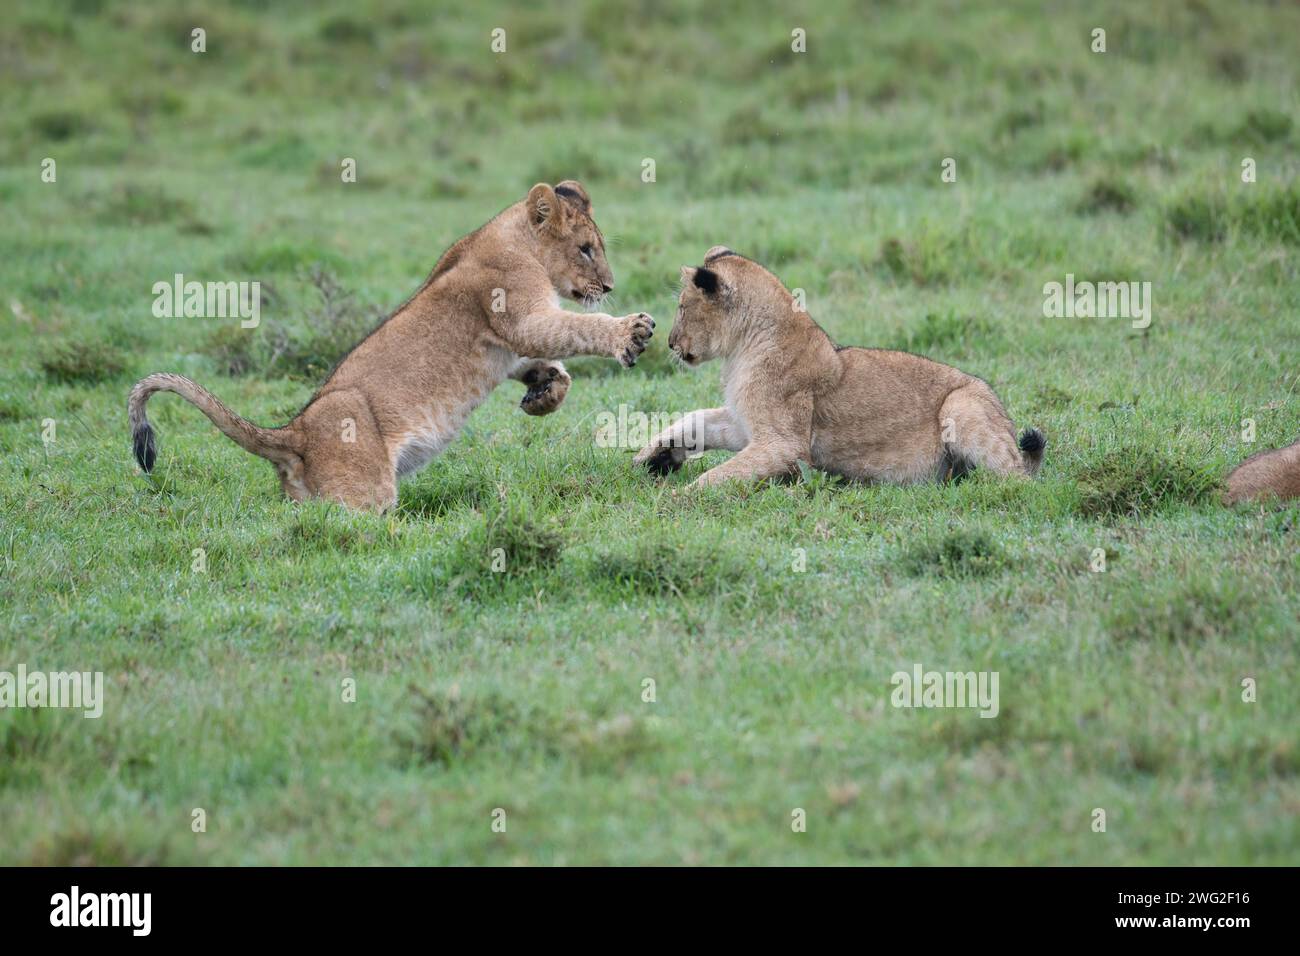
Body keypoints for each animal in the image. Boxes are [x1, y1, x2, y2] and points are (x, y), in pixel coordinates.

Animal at [129, 181, 654, 511]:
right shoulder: (519, 314)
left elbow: (538, 360)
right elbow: (573, 330)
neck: (518, 241)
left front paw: (546, 391)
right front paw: (630, 331)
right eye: (585, 249)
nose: (609, 286)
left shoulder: (507, 341)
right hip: (364, 483)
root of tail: (293, 433)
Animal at [633, 246, 1044, 488]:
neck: (740, 350)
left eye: (682, 307)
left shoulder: (784, 444)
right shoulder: (745, 425)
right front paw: (653, 457)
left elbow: (720, 476)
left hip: (962, 405)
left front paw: (678, 501)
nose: (670, 343)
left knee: (1018, 479)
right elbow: (695, 420)